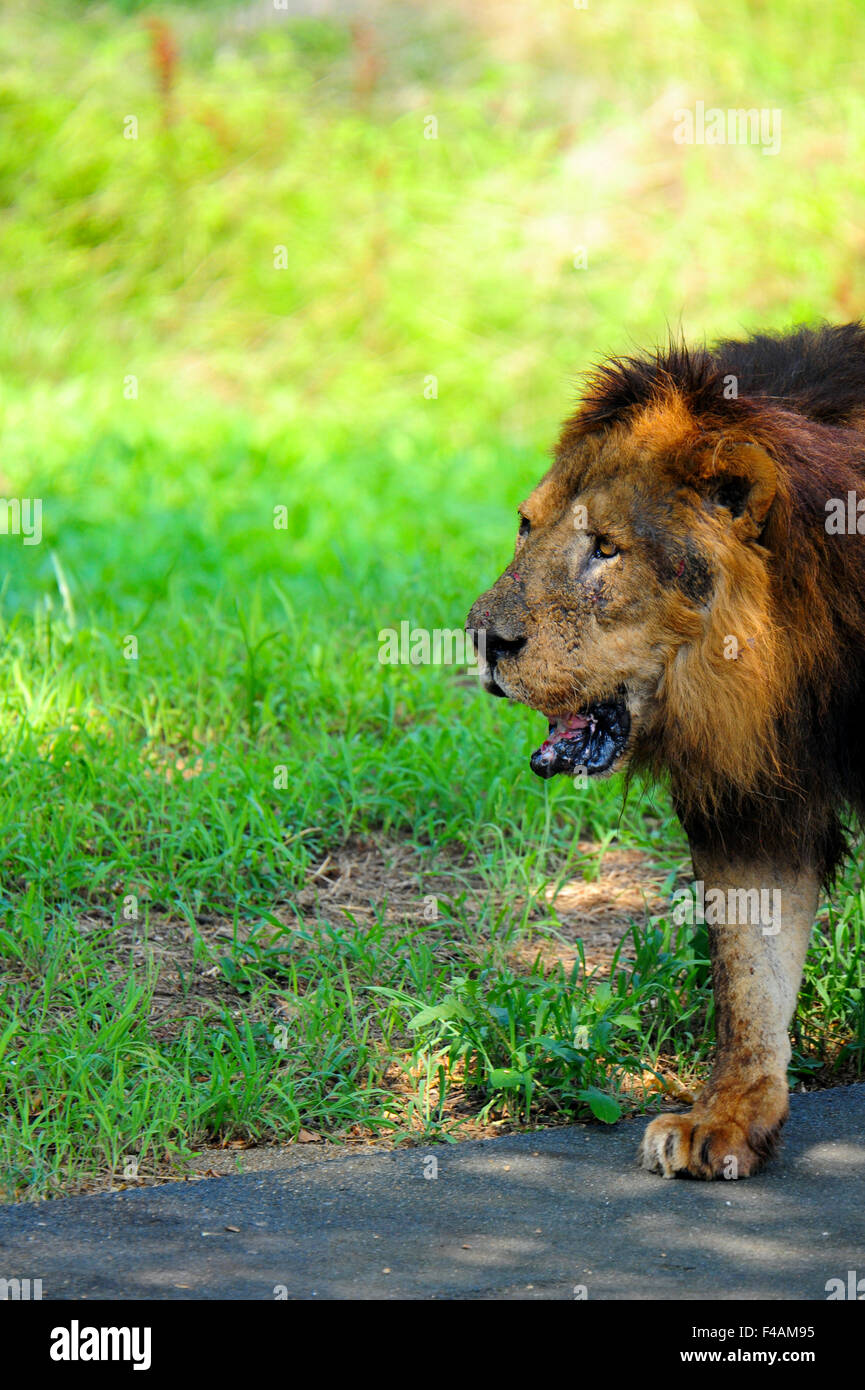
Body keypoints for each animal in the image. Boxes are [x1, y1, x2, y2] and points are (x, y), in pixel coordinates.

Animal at [466, 322, 865, 1179]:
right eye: (525, 526)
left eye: (605, 549)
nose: (482, 639)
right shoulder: (757, 799)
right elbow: (750, 975)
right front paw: (727, 1119)